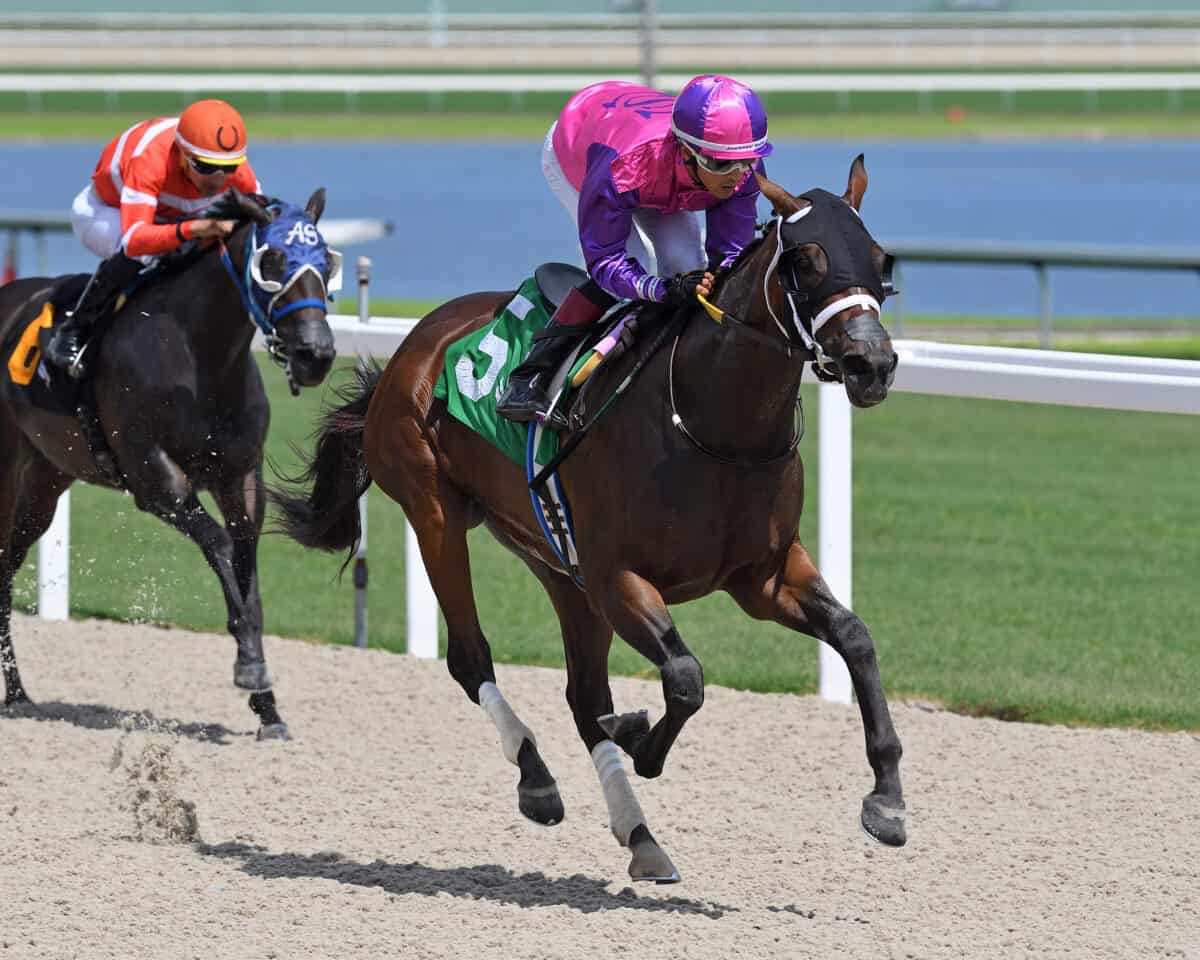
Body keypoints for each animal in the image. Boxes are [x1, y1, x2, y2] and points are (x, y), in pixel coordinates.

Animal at [0, 188, 338, 740]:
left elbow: (249, 579)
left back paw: (17, 692)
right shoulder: (155, 482)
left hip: (45, 481)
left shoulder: (240, 479)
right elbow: (219, 545)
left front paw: (268, 707)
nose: (316, 354)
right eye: (271, 261)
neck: (200, 359)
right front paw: (249, 669)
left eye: (327, 262)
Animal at [271, 157, 905, 879]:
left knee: (584, 697)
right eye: (804, 258)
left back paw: (640, 835)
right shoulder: (619, 577)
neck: (713, 421)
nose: (871, 363)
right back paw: (537, 778)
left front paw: (887, 798)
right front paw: (640, 739)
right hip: (436, 513)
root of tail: (412, 348)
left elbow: (855, 637)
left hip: (555, 559)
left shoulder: (761, 575)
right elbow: (685, 680)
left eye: (880, 258)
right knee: (471, 658)